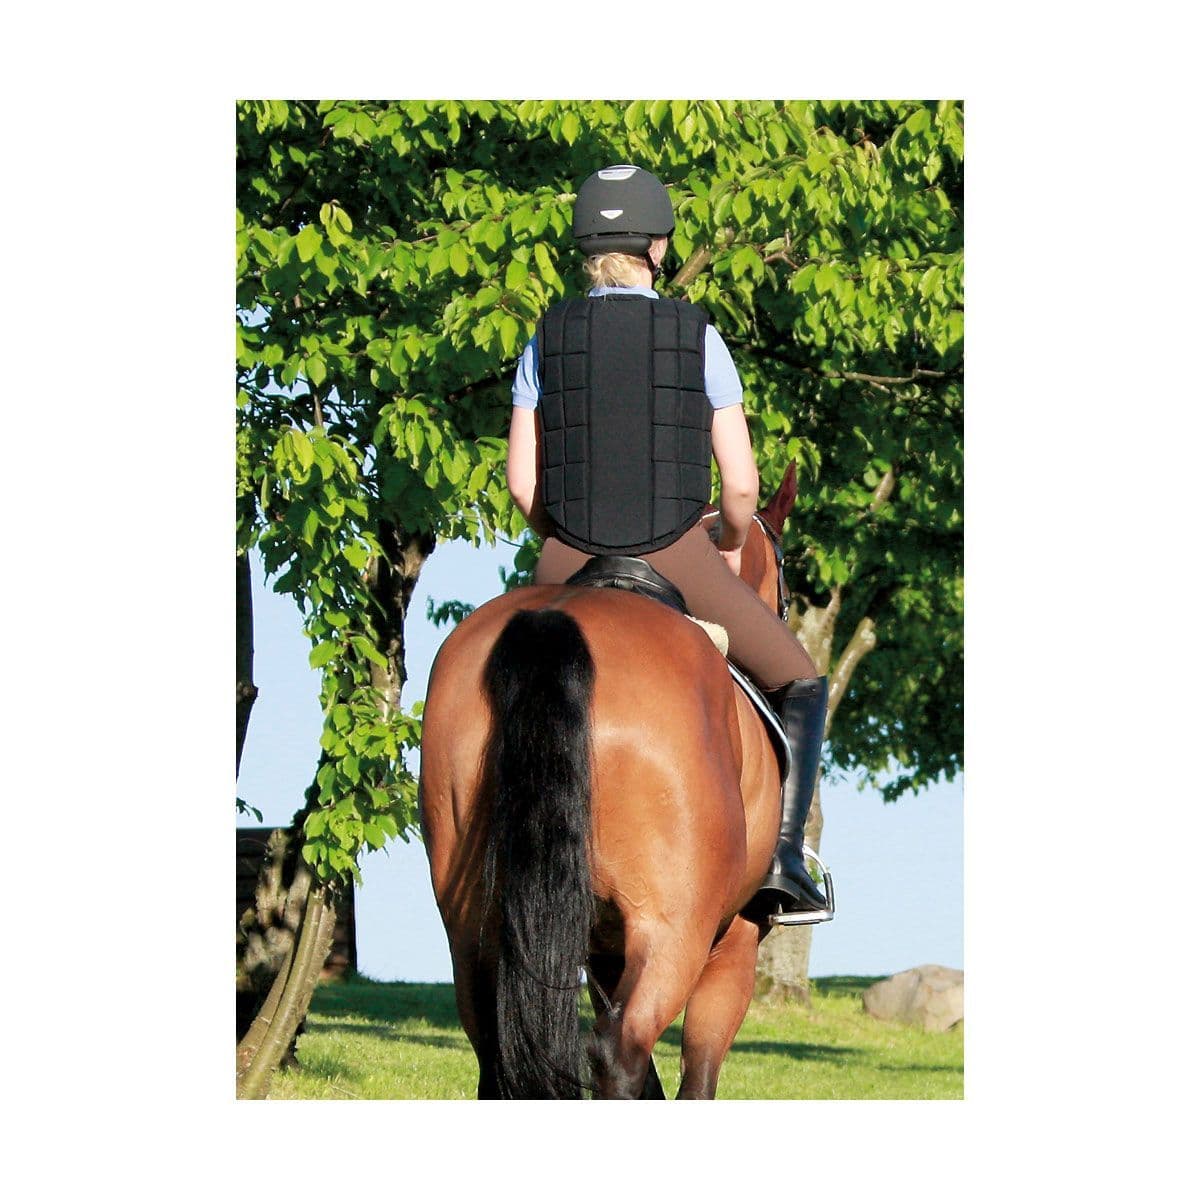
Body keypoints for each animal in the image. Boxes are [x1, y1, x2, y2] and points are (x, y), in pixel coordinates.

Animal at [417, 468, 800, 1099]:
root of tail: (554, 619)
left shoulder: (601, 948)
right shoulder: (733, 946)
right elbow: (696, 1077)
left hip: (473, 922)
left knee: (494, 1048)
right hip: (673, 931)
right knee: (620, 1050)